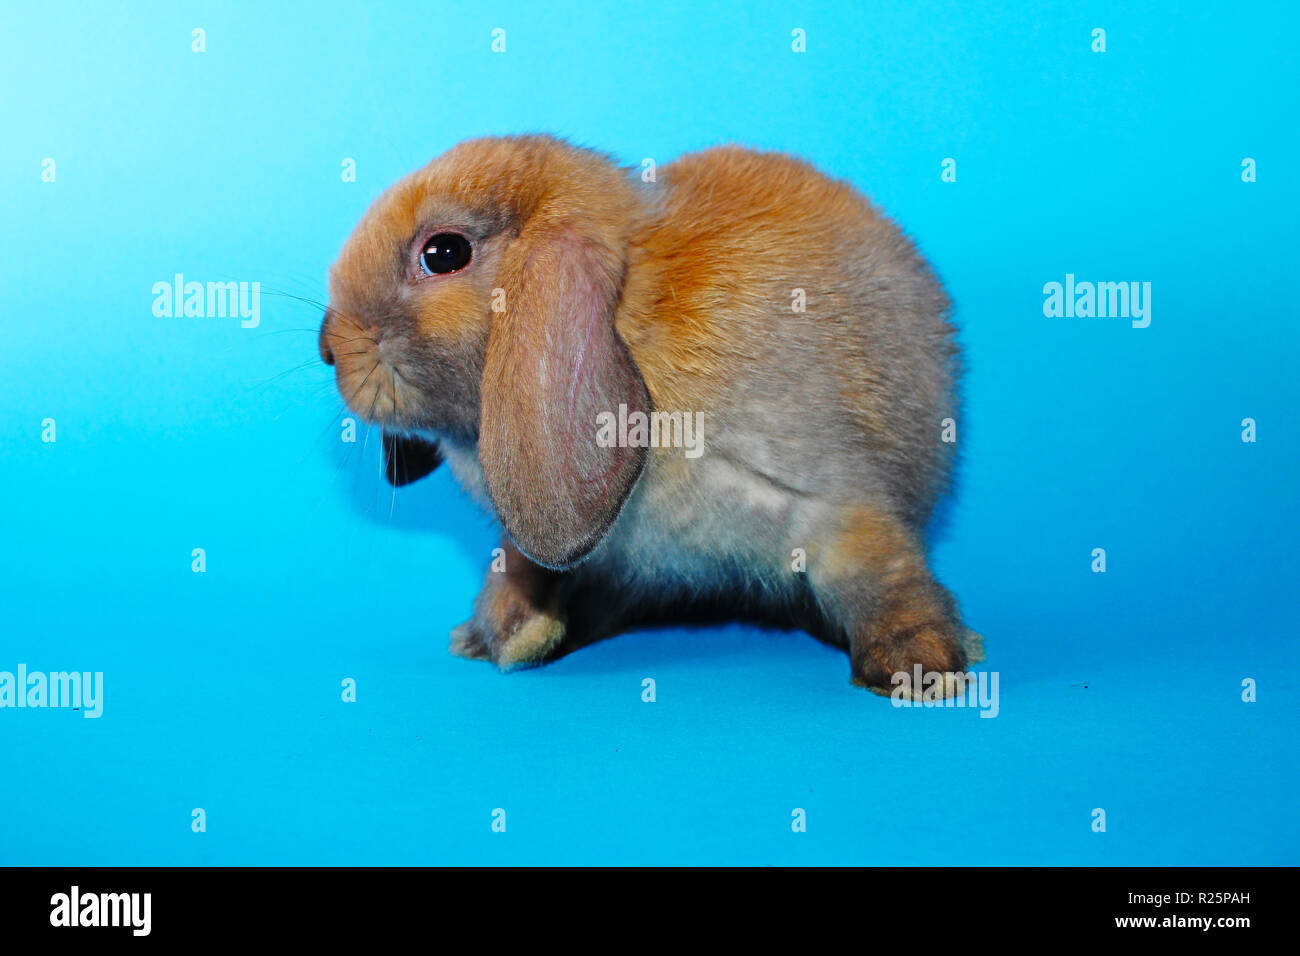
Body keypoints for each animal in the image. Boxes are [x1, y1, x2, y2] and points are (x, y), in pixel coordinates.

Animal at [319, 134, 980, 696]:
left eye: (445, 252)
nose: (328, 347)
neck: (634, 324)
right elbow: (523, 570)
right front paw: (503, 633)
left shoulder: (833, 501)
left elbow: (881, 570)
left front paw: (919, 666)